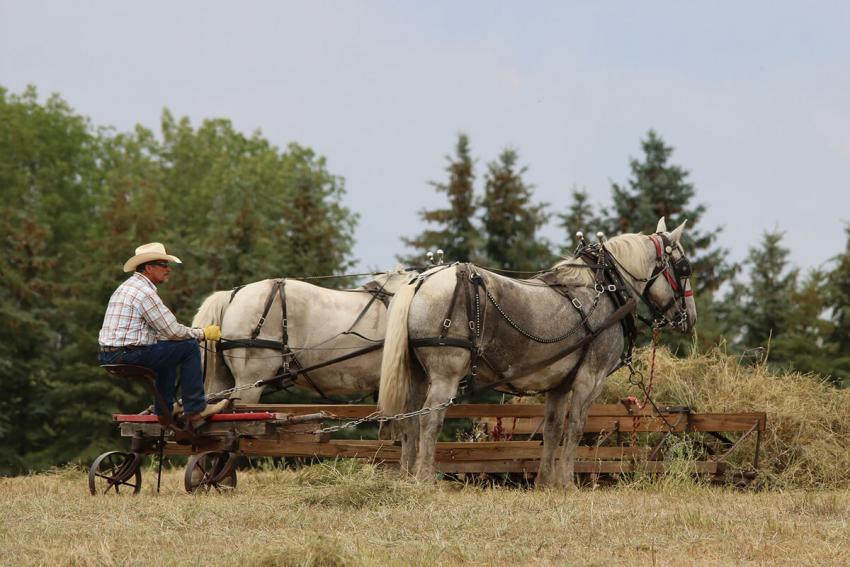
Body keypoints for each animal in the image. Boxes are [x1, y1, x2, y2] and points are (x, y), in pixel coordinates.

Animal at [378, 218, 697, 488]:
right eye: (684, 269)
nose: (690, 318)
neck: (606, 289)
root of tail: (421, 281)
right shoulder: (590, 378)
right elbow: (575, 427)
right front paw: (567, 483)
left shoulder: (559, 384)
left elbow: (553, 429)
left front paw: (546, 482)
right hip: (446, 374)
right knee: (430, 419)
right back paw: (424, 479)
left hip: (418, 374)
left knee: (409, 420)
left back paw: (407, 478)